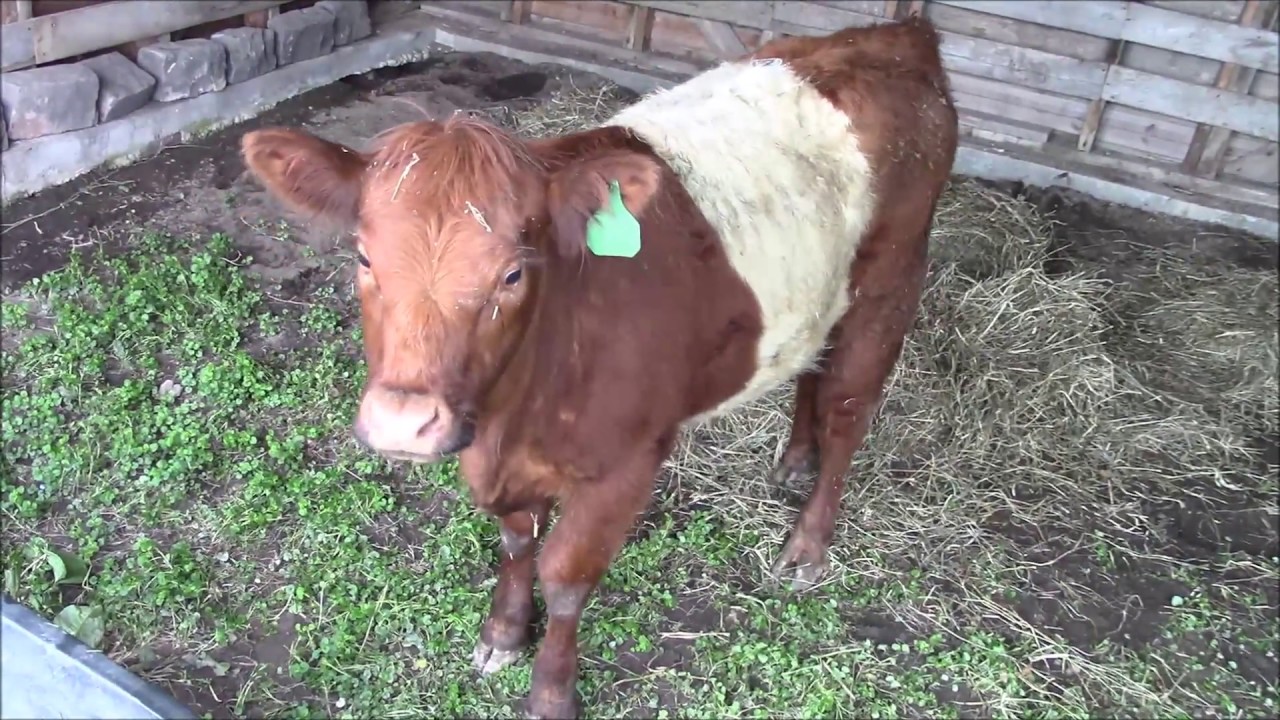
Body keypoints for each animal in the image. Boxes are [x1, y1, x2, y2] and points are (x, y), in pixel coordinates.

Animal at [241, 15, 958, 718]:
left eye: (513, 273)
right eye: (364, 257)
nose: (401, 421)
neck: (514, 418)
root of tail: (897, 33)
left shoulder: (626, 465)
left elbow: (565, 577)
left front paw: (552, 692)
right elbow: (517, 540)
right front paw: (503, 634)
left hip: (888, 290)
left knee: (848, 411)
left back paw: (807, 545)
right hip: (822, 298)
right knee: (813, 368)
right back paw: (795, 459)